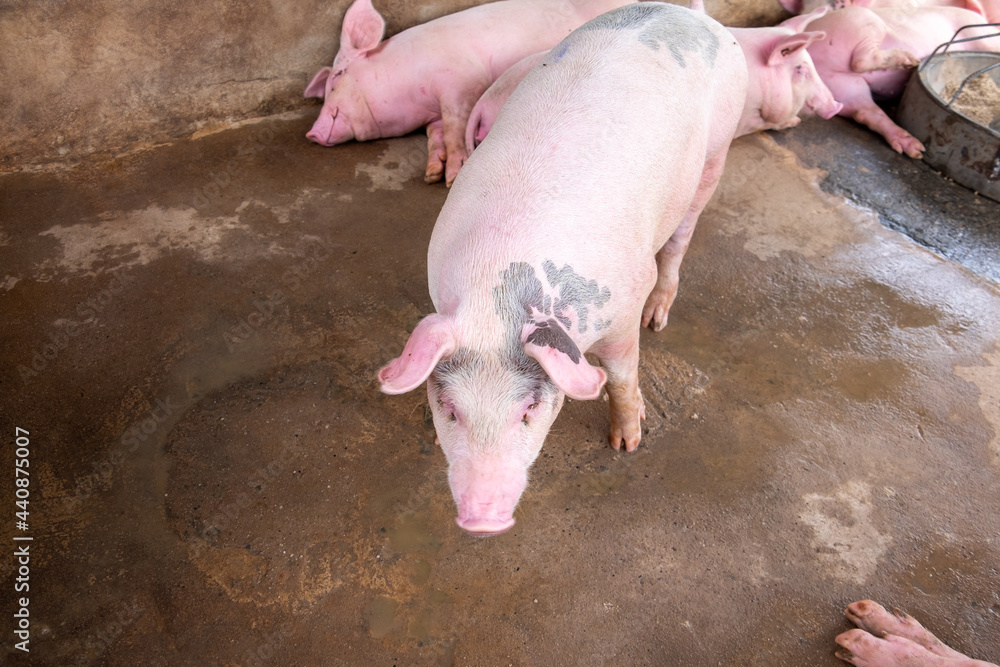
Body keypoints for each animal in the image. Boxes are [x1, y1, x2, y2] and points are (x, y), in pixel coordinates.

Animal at [304, 0, 635, 187]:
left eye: (338, 76)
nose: (312, 133)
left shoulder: (462, 83)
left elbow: (454, 128)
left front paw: (452, 178)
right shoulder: (433, 118)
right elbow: (436, 136)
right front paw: (432, 174)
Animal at [379, 2, 831, 535]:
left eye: (530, 410)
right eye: (450, 409)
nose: (481, 520)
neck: (499, 291)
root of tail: (693, 16)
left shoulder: (624, 303)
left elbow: (620, 376)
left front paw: (627, 444)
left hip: (715, 151)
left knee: (681, 237)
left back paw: (660, 319)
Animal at [785, 6, 1000, 157]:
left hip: (842, 85)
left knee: (865, 112)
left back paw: (915, 150)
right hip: (861, 20)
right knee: (861, 61)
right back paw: (909, 60)